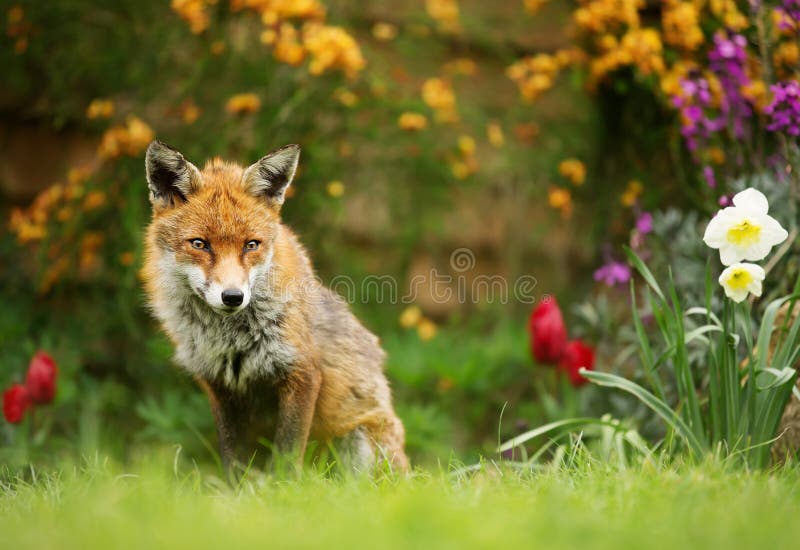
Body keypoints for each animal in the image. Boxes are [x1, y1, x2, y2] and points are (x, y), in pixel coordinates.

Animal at [141, 140, 408, 474]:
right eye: (199, 244)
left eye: (251, 245)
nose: (233, 296)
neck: (229, 339)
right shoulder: (219, 385)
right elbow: (233, 461)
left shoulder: (302, 373)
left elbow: (287, 456)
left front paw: (286, 485)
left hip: (358, 444)